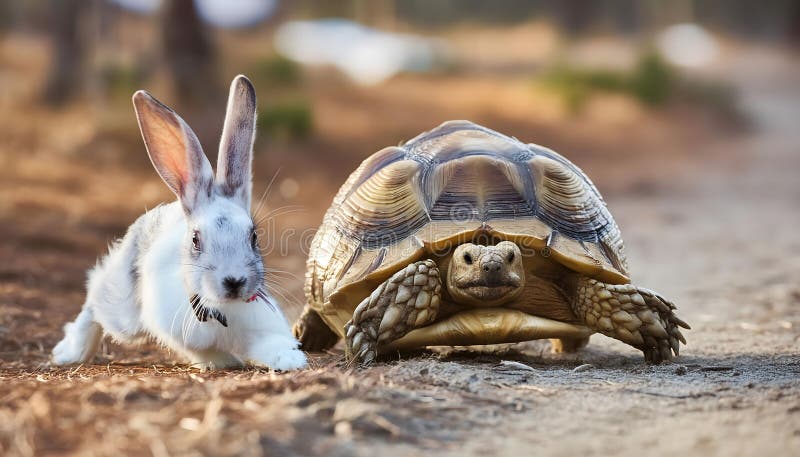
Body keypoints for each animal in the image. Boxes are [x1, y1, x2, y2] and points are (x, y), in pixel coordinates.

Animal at [51, 75, 307, 371]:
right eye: (196, 240)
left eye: (254, 237)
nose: (234, 281)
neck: (222, 307)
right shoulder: (182, 333)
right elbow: (206, 352)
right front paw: (227, 361)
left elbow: (271, 343)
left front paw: (290, 359)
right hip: (123, 312)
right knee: (94, 302)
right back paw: (69, 351)